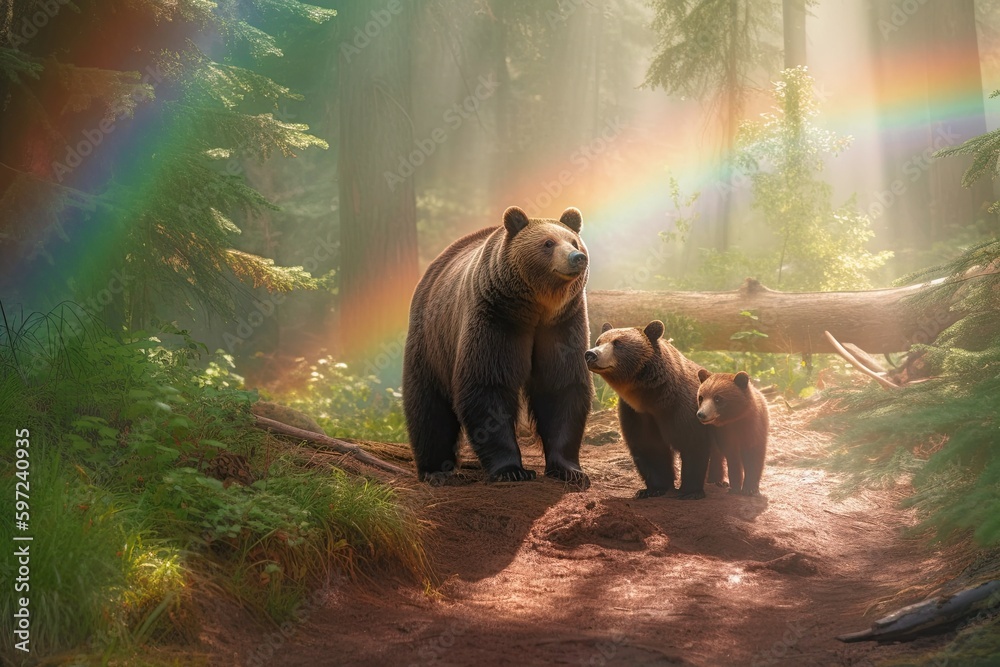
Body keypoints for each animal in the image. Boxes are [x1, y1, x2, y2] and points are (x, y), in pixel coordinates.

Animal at [402, 205, 593, 486]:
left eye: (573, 241)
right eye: (548, 243)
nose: (576, 257)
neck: (536, 310)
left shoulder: (563, 324)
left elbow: (562, 386)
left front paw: (570, 470)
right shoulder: (496, 318)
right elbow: (488, 387)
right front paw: (512, 469)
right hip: (430, 342)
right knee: (428, 407)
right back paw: (435, 469)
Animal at [585, 320, 713, 499]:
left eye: (617, 343)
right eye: (599, 342)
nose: (591, 354)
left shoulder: (685, 409)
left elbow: (694, 443)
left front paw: (690, 491)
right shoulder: (637, 413)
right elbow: (649, 447)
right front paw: (653, 489)